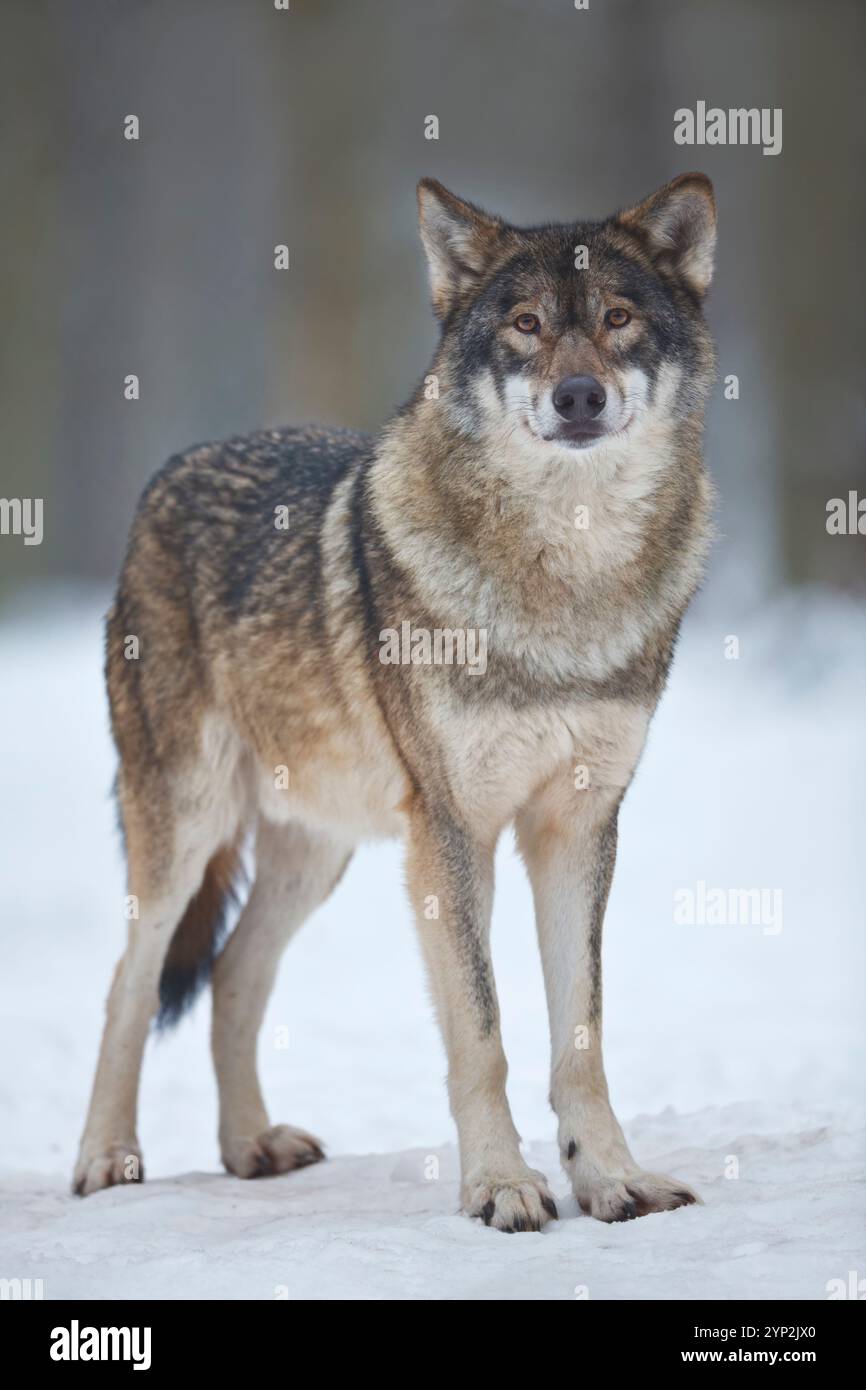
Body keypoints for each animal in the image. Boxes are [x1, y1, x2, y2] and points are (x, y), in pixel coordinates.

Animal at [74, 173, 716, 1231]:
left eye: (617, 320)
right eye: (526, 325)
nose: (579, 396)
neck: (563, 586)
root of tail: (166, 475)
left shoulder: (577, 826)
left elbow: (580, 1036)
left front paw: (612, 1180)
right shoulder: (453, 832)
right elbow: (483, 1033)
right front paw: (501, 1187)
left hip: (316, 853)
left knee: (235, 973)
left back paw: (250, 1146)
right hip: (187, 830)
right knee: (132, 980)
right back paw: (105, 1160)